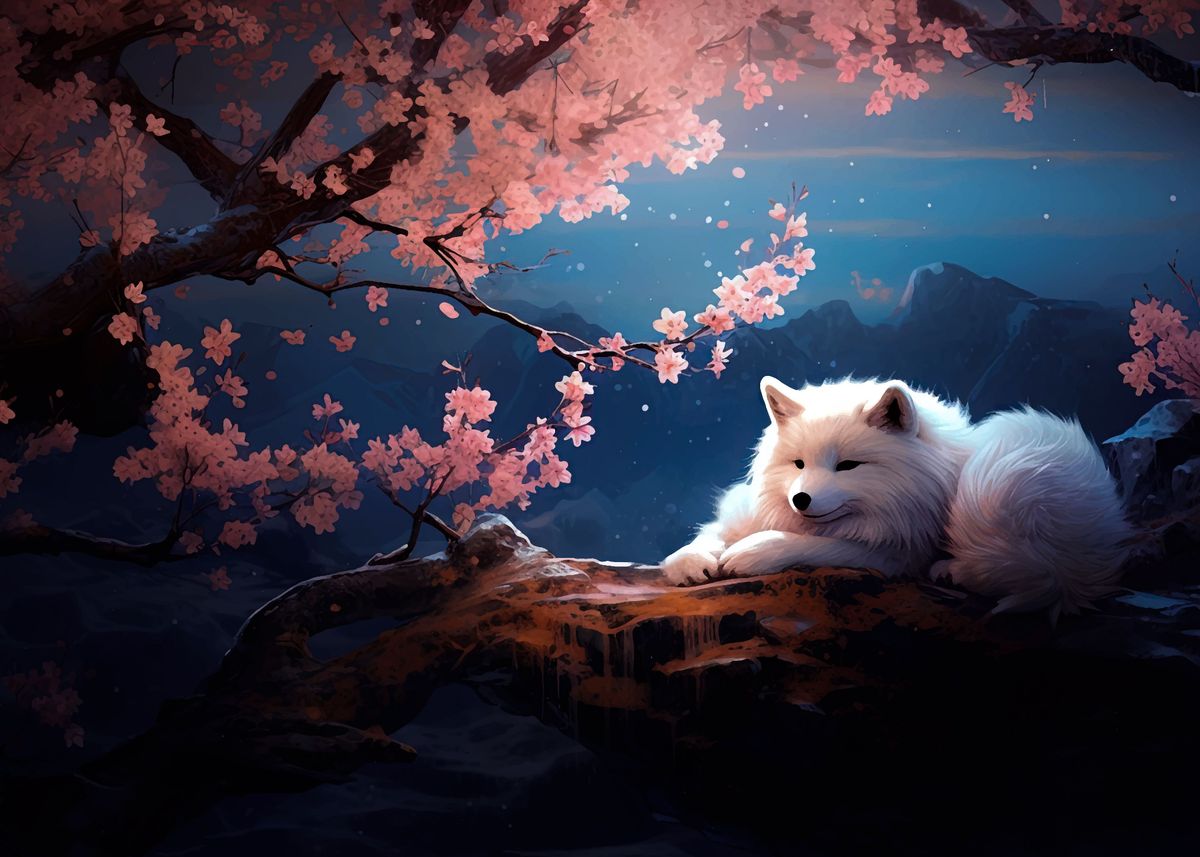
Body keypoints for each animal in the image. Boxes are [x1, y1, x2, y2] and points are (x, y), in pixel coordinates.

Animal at [662, 376, 1131, 617]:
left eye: (848, 466)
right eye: (798, 464)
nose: (801, 500)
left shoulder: (897, 554)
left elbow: (814, 545)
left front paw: (753, 553)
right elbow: (715, 532)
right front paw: (688, 561)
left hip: (998, 474)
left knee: (1029, 575)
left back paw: (952, 571)